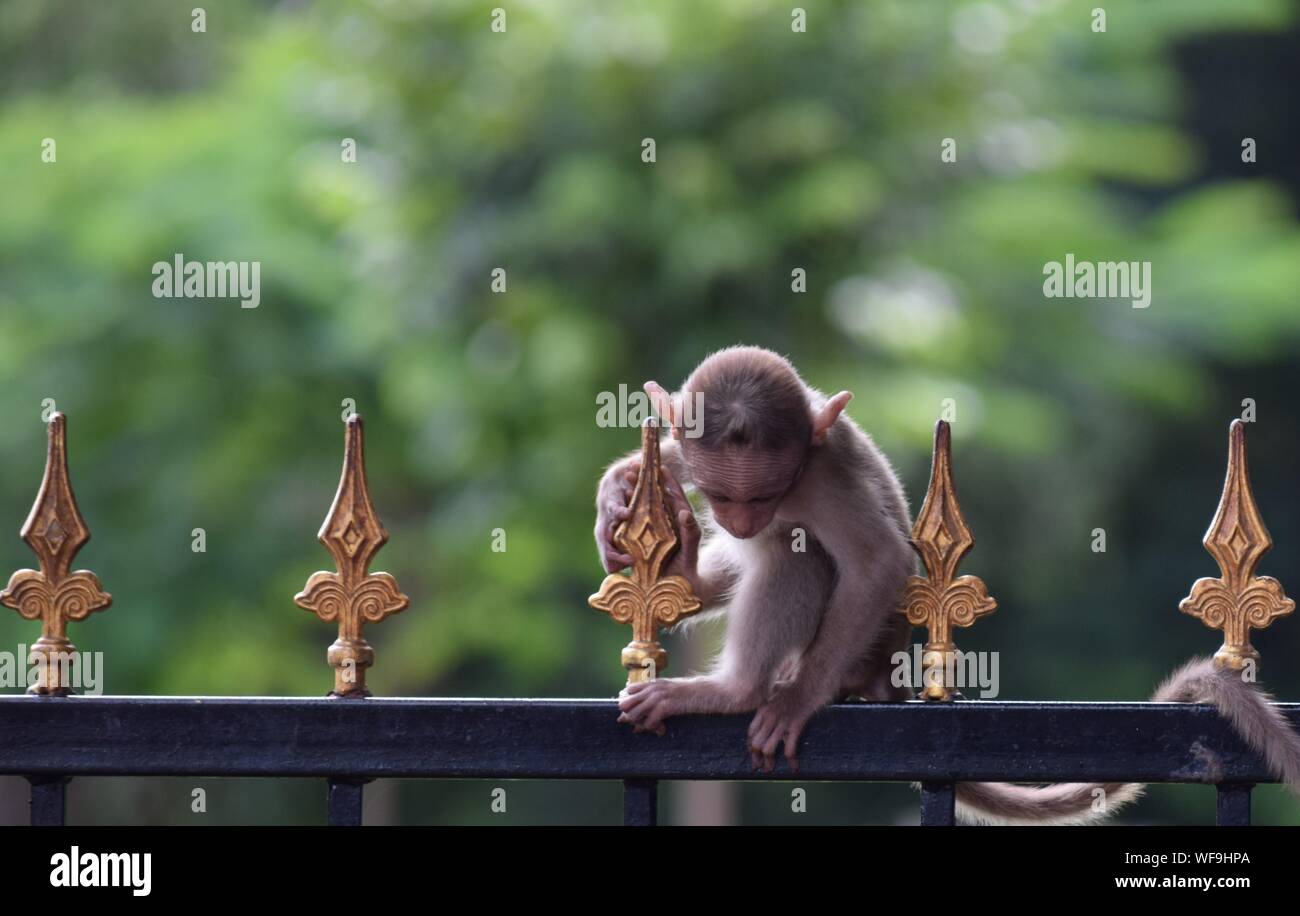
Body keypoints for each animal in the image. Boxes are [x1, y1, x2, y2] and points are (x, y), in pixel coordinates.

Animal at [594, 345, 1300, 824]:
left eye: (760, 493)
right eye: (722, 496)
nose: (741, 518)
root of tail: (886, 674)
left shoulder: (817, 481)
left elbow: (877, 561)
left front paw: (795, 704)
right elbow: (672, 451)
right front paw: (620, 487)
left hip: (856, 653)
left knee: (795, 556)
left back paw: (736, 689)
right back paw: (686, 571)